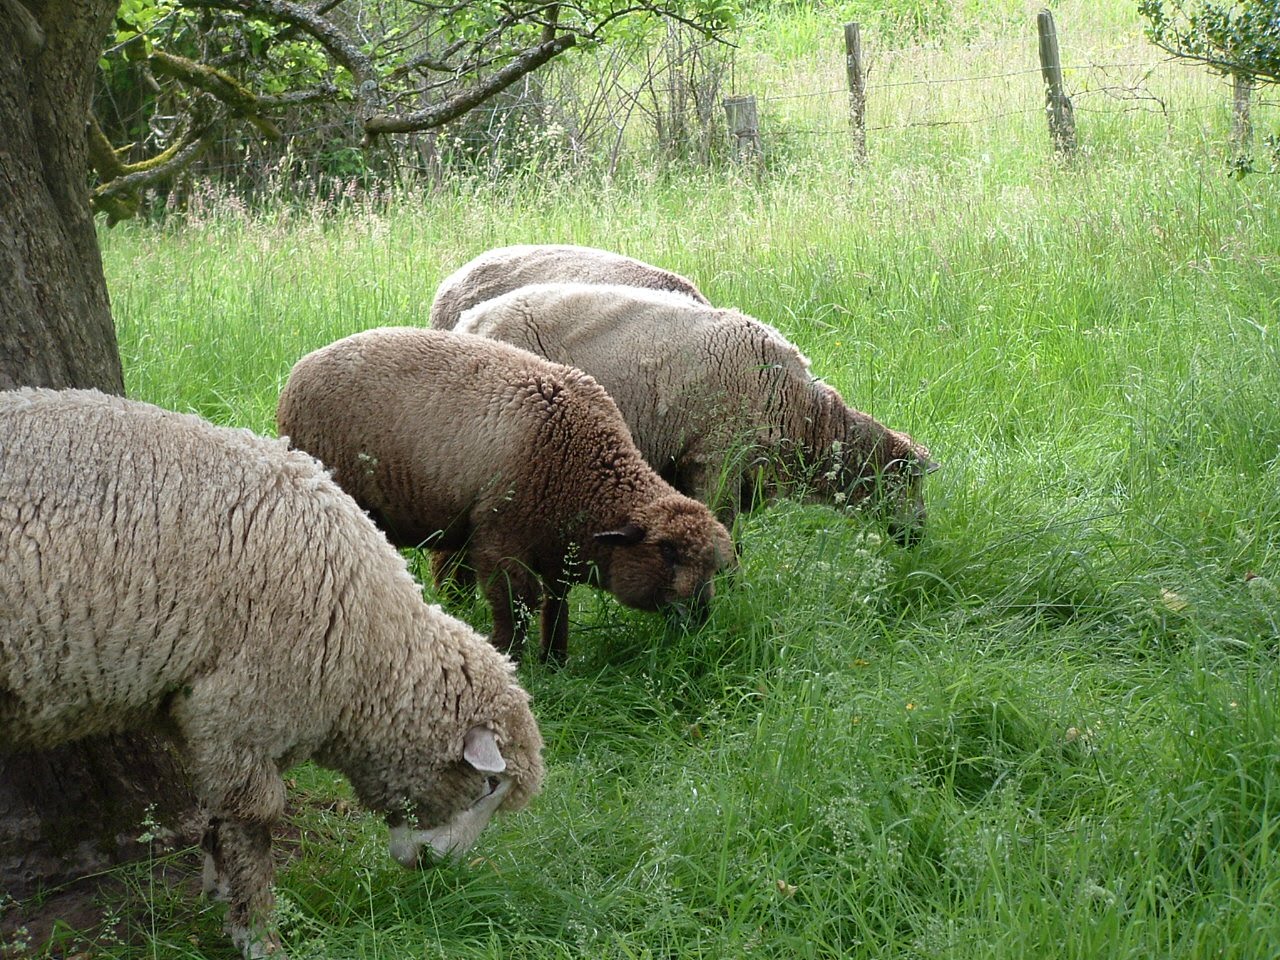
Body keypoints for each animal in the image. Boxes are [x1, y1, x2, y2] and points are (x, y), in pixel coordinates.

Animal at [0, 387, 544, 960]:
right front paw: (258, 931)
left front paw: (219, 888)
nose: (437, 869)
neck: (370, 648)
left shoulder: (207, 716)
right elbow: (253, 825)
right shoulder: (242, 713)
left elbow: (217, 815)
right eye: (489, 784)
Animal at [275, 327, 734, 663]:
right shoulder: (500, 539)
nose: (701, 616)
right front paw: (508, 656)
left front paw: (554, 660)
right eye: (668, 552)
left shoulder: (557, 548)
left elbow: (556, 606)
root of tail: (300, 369)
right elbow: (516, 604)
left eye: (712, 564)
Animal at [454, 283, 937, 545]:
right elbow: (723, 526)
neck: (804, 417)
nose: (918, 537)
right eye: (908, 482)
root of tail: (467, 321)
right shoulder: (716, 457)